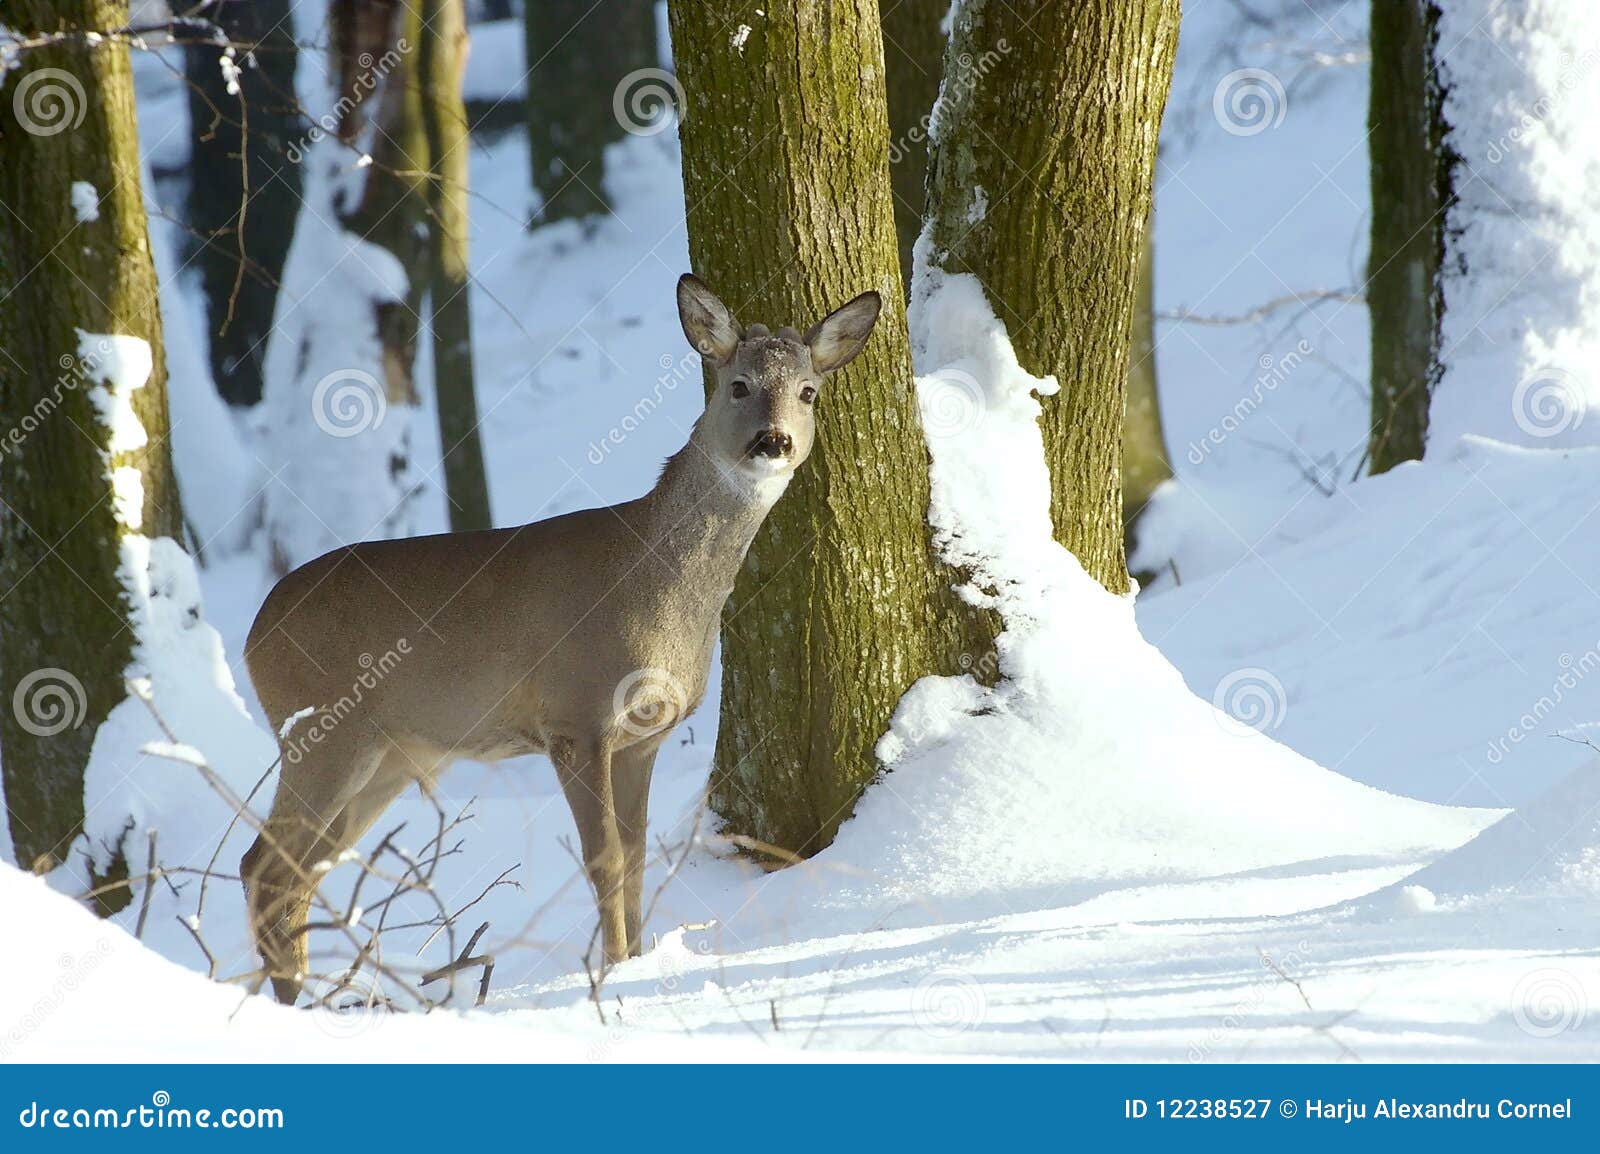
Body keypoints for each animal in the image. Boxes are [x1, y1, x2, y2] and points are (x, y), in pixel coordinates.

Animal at [240, 275, 882, 1004]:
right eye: (738, 385)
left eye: (809, 392)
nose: (773, 441)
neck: (649, 580)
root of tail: (254, 631)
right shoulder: (575, 718)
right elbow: (604, 857)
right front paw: (610, 972)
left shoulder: (645, 736)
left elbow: (636, 854)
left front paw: (636, 963)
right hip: (322, 730)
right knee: (263, 865)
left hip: (391, 755)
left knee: (296, 872)